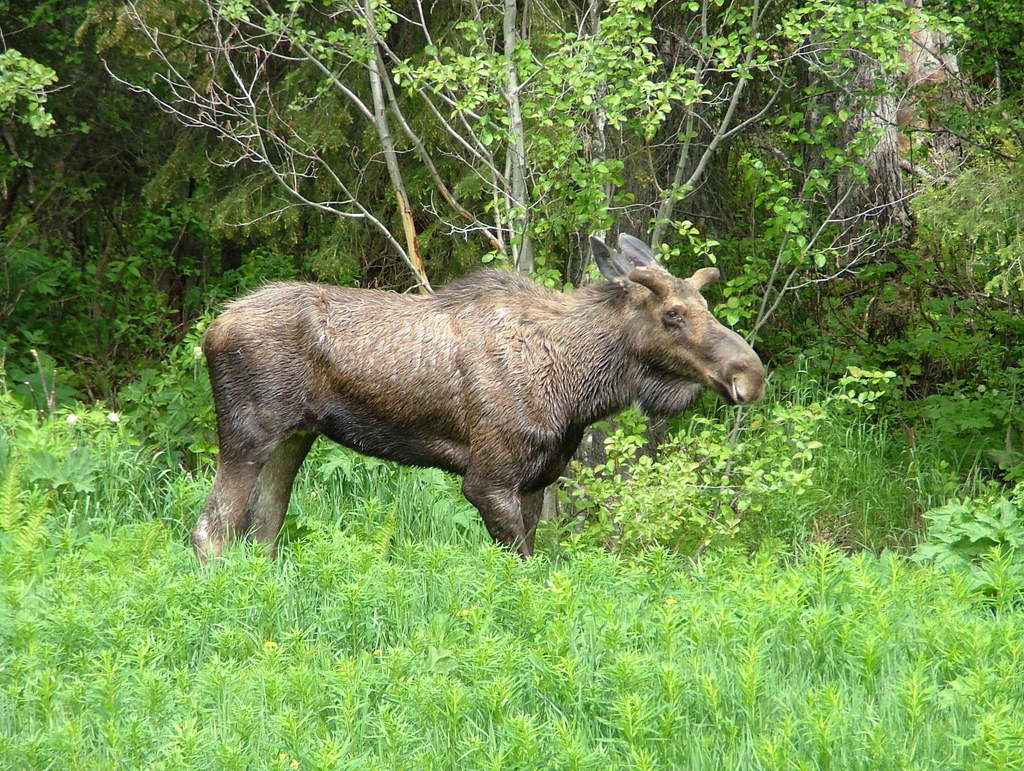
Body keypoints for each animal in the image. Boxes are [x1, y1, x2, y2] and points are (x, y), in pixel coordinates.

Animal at [191, 233, 764, 562]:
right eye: (673, 314)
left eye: (705, 305)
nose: (751, 374)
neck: (579, 386)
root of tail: (210, 332)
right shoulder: (489, 480)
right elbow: (522, 567)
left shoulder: (536, 479)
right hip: (247, 434)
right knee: (210, 532)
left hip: (295, 438)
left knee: (262, 532)